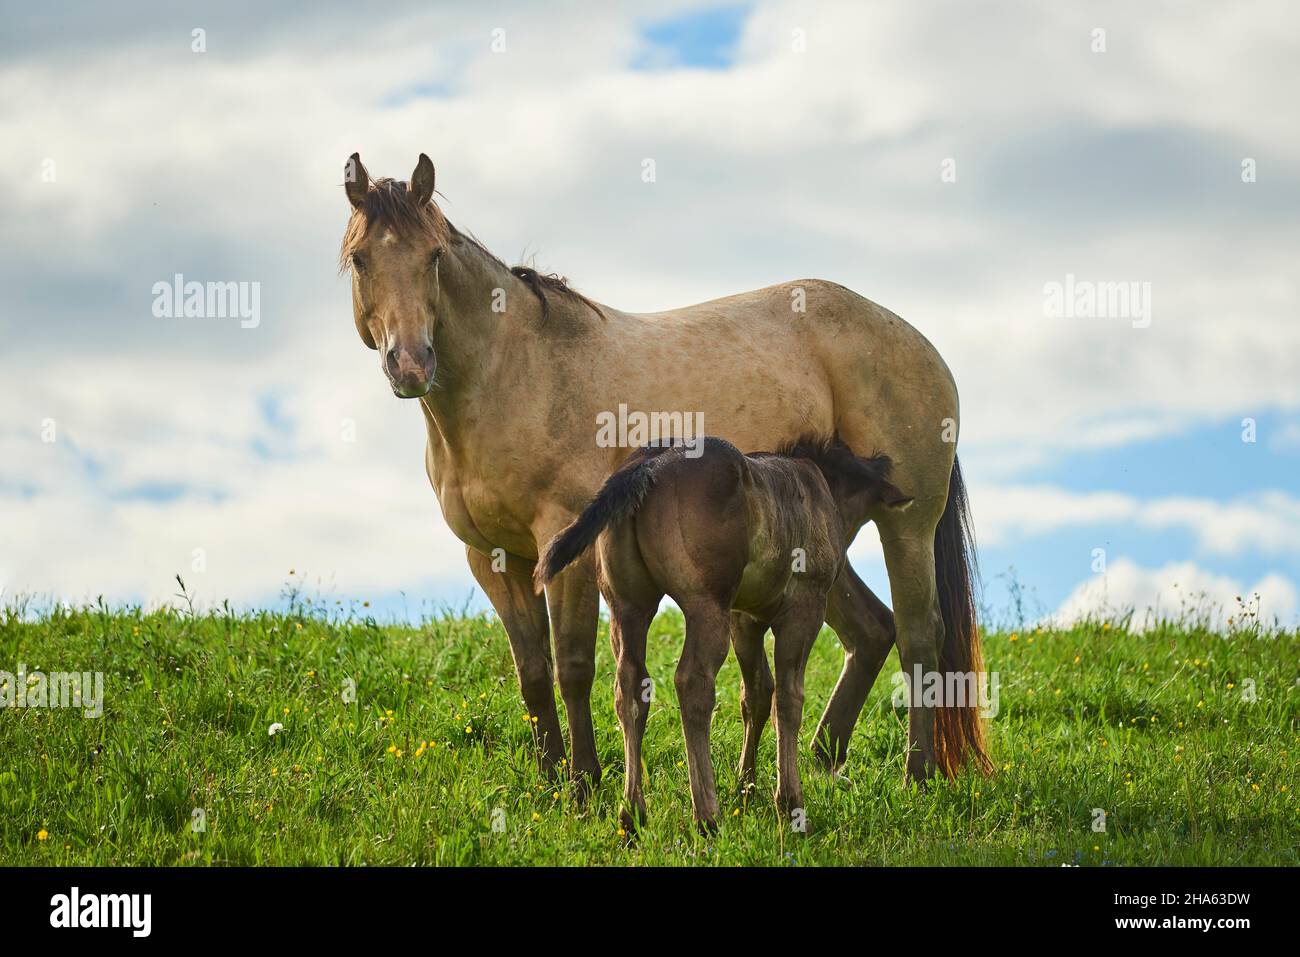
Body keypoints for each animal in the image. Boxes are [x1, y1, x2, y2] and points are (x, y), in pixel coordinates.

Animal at [535, 436, 914, 831]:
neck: (817, 484)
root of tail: (646, 465)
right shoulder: (803, 607)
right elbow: (789, 698)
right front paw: (790, 806)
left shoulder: (744, 618)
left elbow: (757, 694)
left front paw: (746, 787)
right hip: (705, 606)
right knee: (694, 683)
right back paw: (707, 816)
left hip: (628, 607)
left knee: (630, 687)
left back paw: (632, 815)